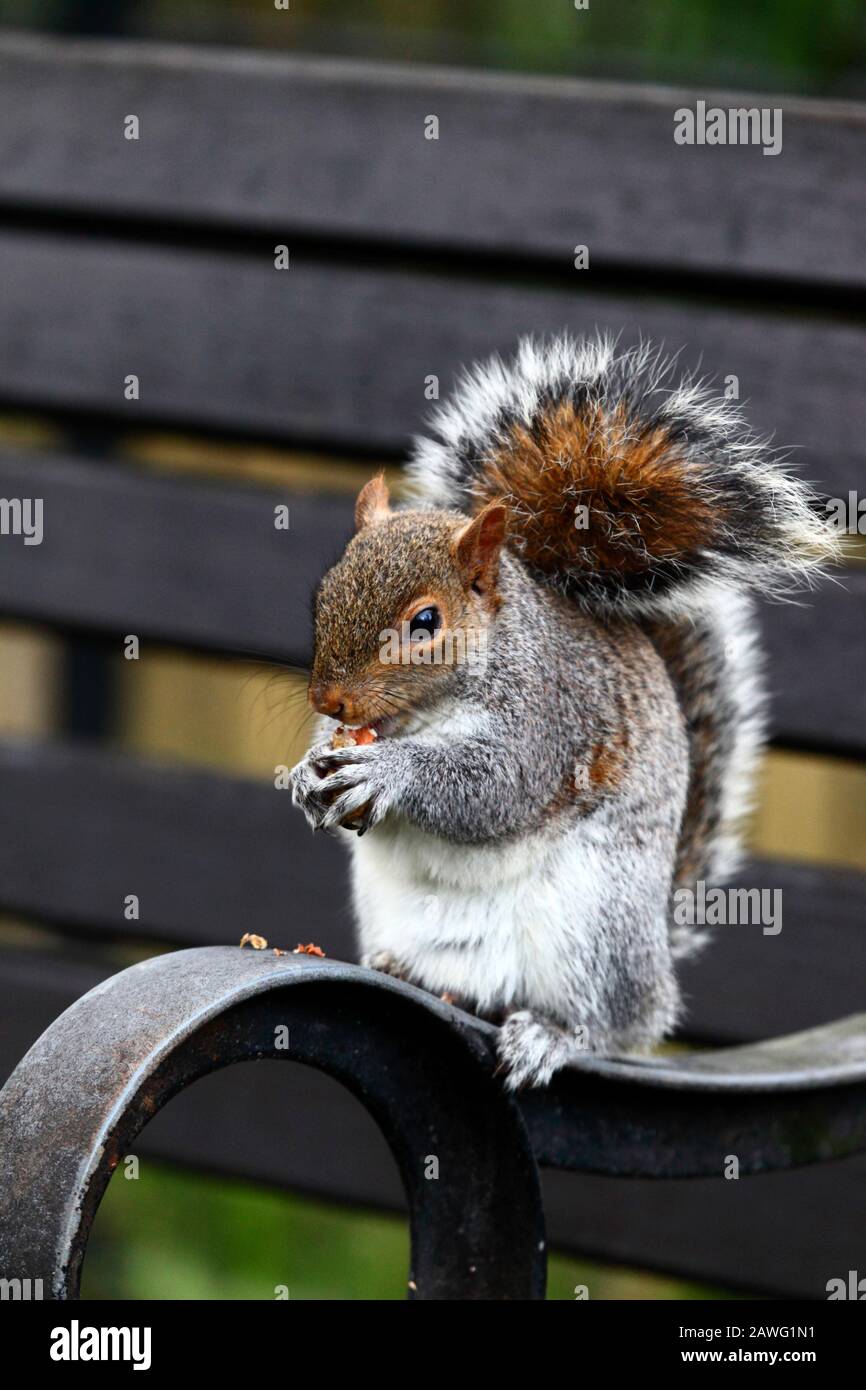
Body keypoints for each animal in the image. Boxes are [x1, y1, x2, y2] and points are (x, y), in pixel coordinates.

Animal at [290, 334, 838, 1089]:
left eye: (426, 622)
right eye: (324, 594)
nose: (329, 698)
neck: (433, 707)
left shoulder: (548, 721)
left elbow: (493, 788)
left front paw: (387, 773)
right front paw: (306, 770)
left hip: (594, 924)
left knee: (612, 1023)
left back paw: (552, 1035)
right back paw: (402, 969)